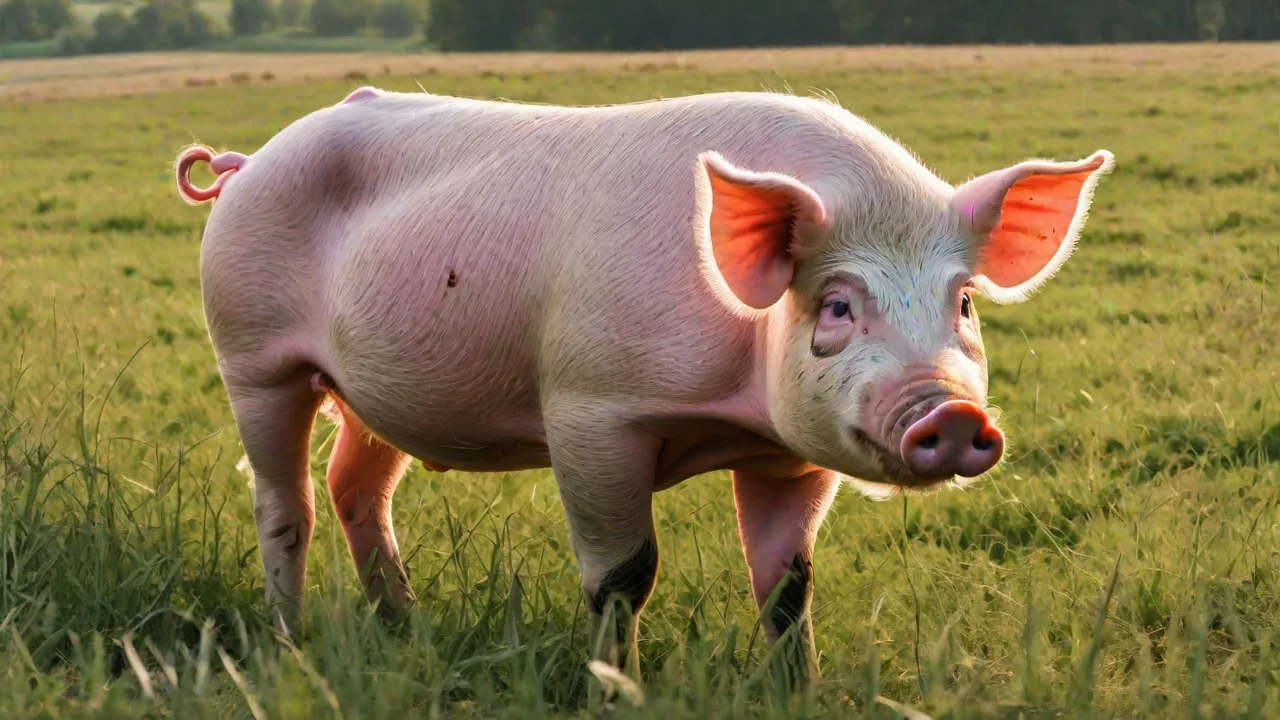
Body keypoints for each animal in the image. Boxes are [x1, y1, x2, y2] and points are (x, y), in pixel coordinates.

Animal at [174, 85, 1113, 682]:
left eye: (964, 302)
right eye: (839, 305)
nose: (948, 413)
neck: (732, 404)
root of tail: (250, 159)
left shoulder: (786, 454)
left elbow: (787, 579)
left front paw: (794, 688)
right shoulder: (591, 409)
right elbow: (624, 572)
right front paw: (613, 687)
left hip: (375, 395)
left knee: (355, 486)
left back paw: (404, 631)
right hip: (251, 355)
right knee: (284, 502)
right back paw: (289, 643)